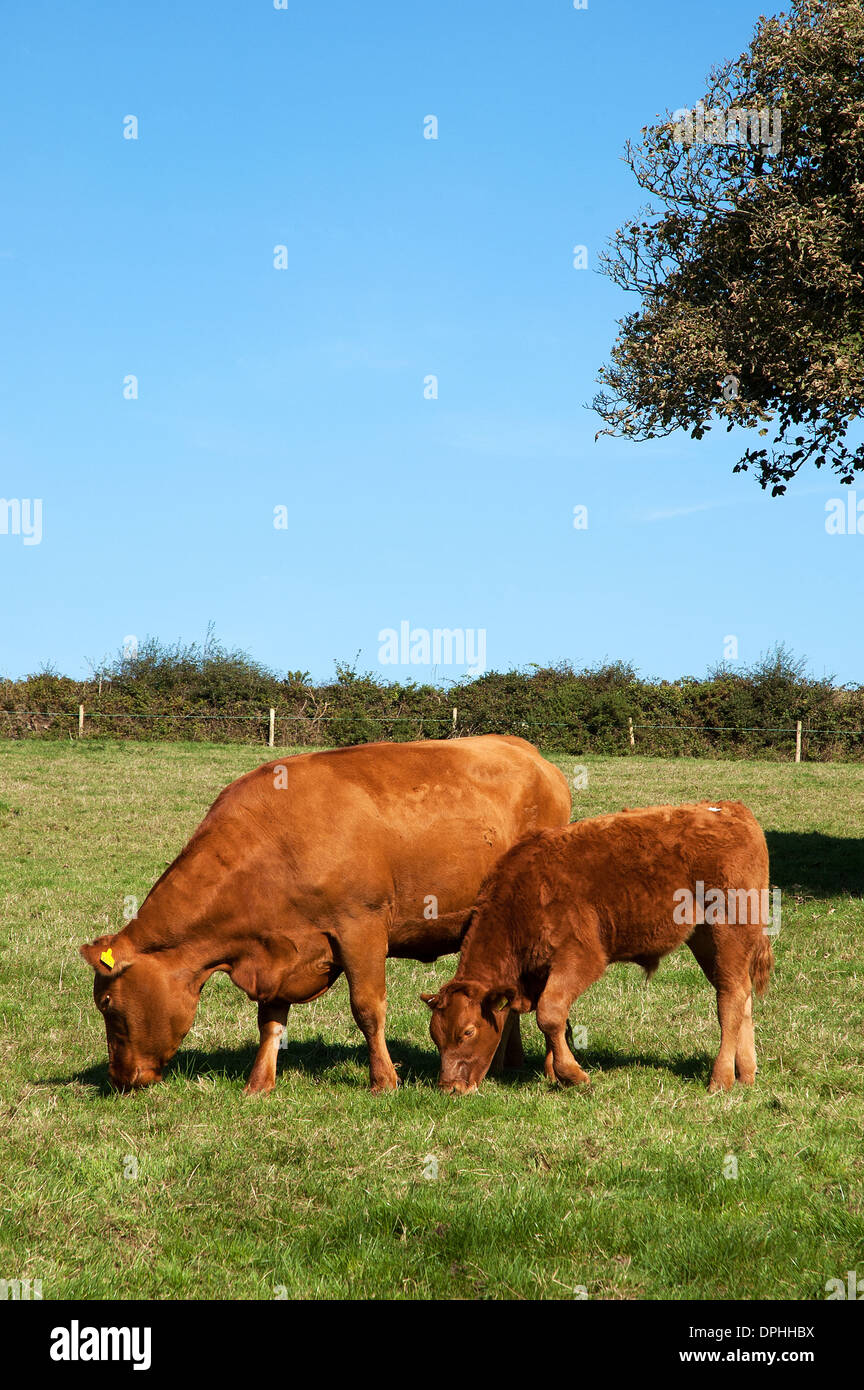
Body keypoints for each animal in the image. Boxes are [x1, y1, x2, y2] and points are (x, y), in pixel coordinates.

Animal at [79, 735, 570, 1094]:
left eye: (106, 1003)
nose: (119, 1079)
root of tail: (527, 751)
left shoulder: (361, 926)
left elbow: (367, 1008)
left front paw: (384, 1081)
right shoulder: (278, 949)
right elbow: (270, 1021)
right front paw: (259, 1084)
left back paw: (545, 1069)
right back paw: (508, 1061)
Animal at [423, 800, 774, 1095]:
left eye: (468, 1032)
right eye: (436, 1036)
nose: (449, 1088)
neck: (523, 896)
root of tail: (729, 809)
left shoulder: (581, 957)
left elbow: (550, 1014)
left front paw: (572, 1074)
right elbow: (551, 1017)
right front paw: (552, 1071)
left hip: (728, 931)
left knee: (729, 999)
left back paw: (721, 1077)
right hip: (706, 941)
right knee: (740, 993)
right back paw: (746, 1073)